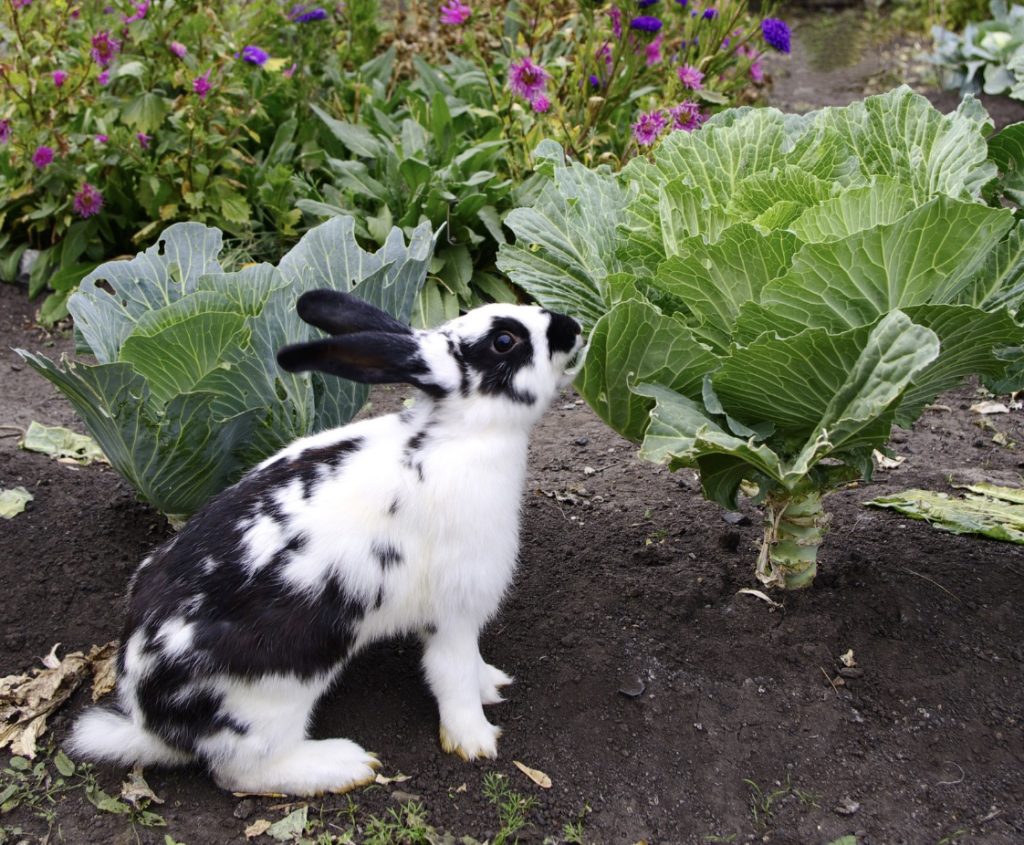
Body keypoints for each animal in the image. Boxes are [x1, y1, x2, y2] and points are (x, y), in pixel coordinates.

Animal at [68, 289, 583, 796]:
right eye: (504, 341)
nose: (573, 327)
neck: (455, 435)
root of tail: (151, 723)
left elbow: (472, 663)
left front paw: (493, 684)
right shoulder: (453, 609)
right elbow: (451, 672)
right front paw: (475, 740)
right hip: (272, 696)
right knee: (241, 773)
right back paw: (344, 765)